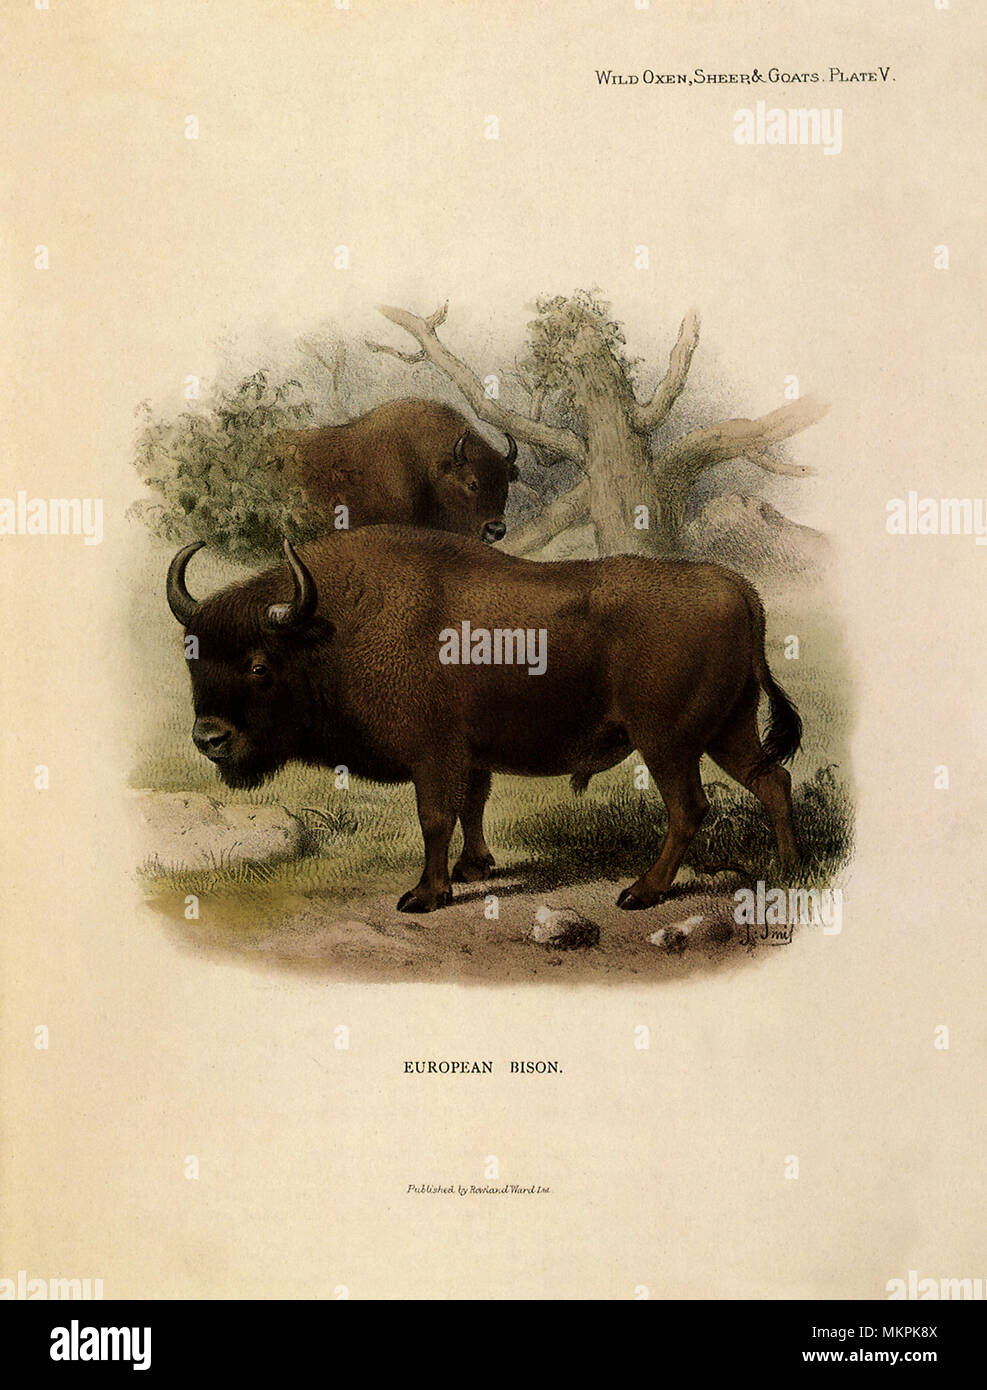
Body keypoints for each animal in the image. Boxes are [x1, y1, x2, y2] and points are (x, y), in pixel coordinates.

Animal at [167, 528, 801, 914]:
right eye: (191, 656)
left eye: (258, 665)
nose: (209, 738)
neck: (330, 630)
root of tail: (739, 588)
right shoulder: (469, 757)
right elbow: (472, 808)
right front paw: (474, 869)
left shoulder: (433, 755)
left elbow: (435, 818)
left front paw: (424, 895)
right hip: (727, 731)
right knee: (772, 780)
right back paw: (787, 869)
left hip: (666, 743)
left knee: (689, 808)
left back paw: (640, 893)